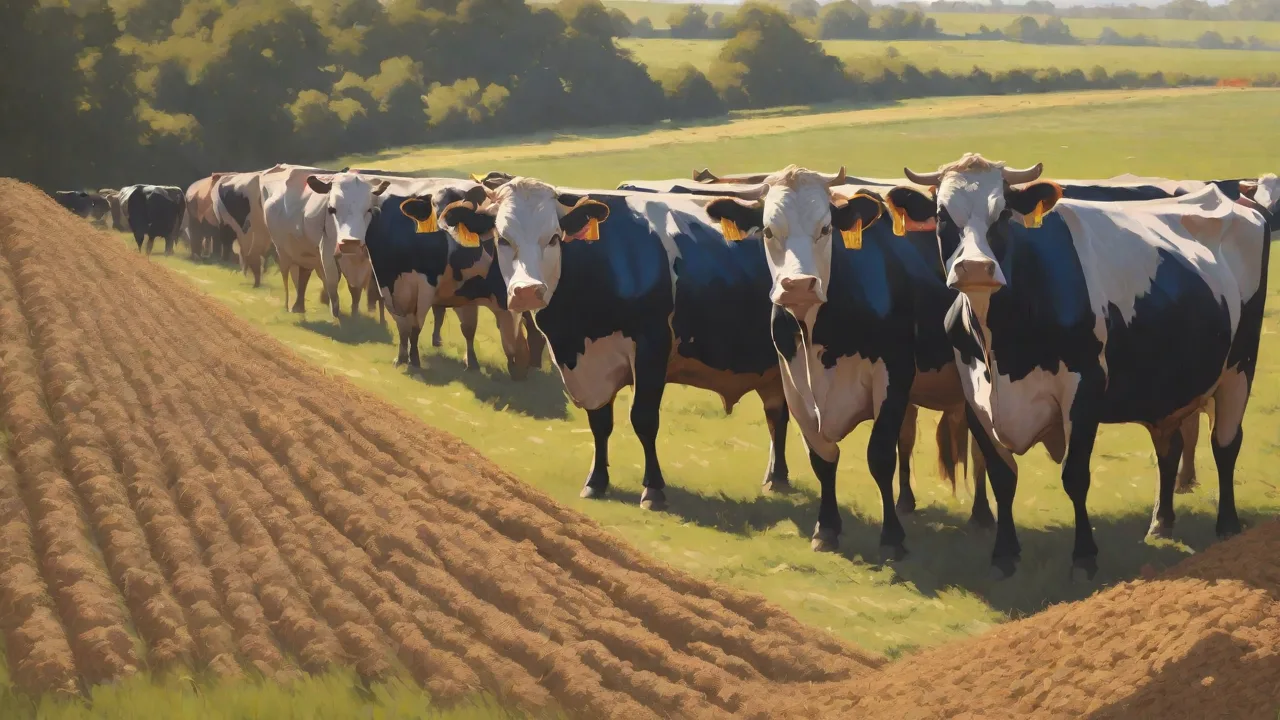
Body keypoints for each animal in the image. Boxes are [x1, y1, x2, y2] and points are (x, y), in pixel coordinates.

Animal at [359, 178, 535, 380]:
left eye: (462, 210)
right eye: (434, 206)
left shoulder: (427, 287)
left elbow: (415, 327)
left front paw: (414, 360)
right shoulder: (386, 286)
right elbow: (402, 327)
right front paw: (401, 358)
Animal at [439, 177, 801, 511]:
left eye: (554, 237)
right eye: (502, 239)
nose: (527, 291)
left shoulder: (652, 346)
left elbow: (643, 418)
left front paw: (653, 490)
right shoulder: (587, 366)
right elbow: (599, 422)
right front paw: (596, 482)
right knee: (776, 413)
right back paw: (776, 476)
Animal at [883, 154, 1276, 578]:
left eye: (1002, 213)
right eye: (942, 216)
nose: (974, 268)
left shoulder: (1084, 390)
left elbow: (1075, 475)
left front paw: (1084, 557)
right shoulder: (974, 394)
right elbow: (1002, 475)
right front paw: (1004, 554)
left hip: (1238, 370)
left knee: (1225, 444)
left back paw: (1228, 525)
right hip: (1169, 389)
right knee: (1169, 449)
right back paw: (1161, 522)